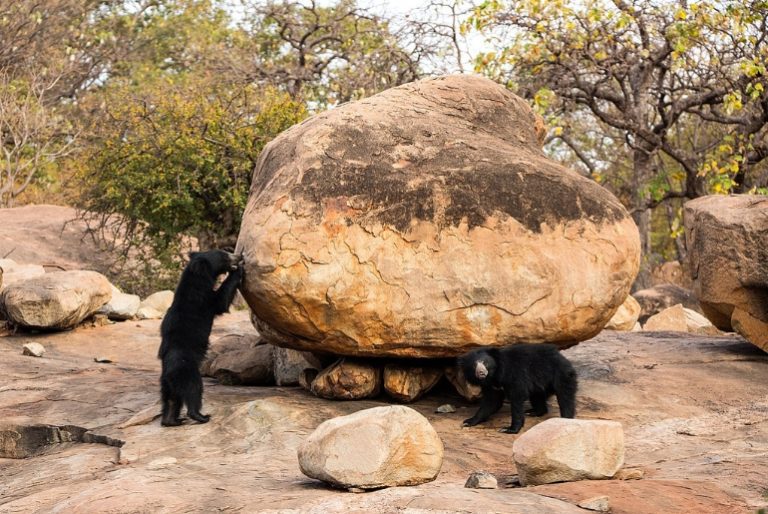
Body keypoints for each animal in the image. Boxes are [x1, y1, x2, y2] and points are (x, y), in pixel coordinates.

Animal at [158, 249, 243, 427]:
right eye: (224, 255)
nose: (238, 256)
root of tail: (168, 374)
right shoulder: (203, 301)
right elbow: (221, 301)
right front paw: (238, 270)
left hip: (167, 385)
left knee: (171, 400)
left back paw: (172, 421)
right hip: (187, 372)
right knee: (194, 390)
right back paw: (201, 416)